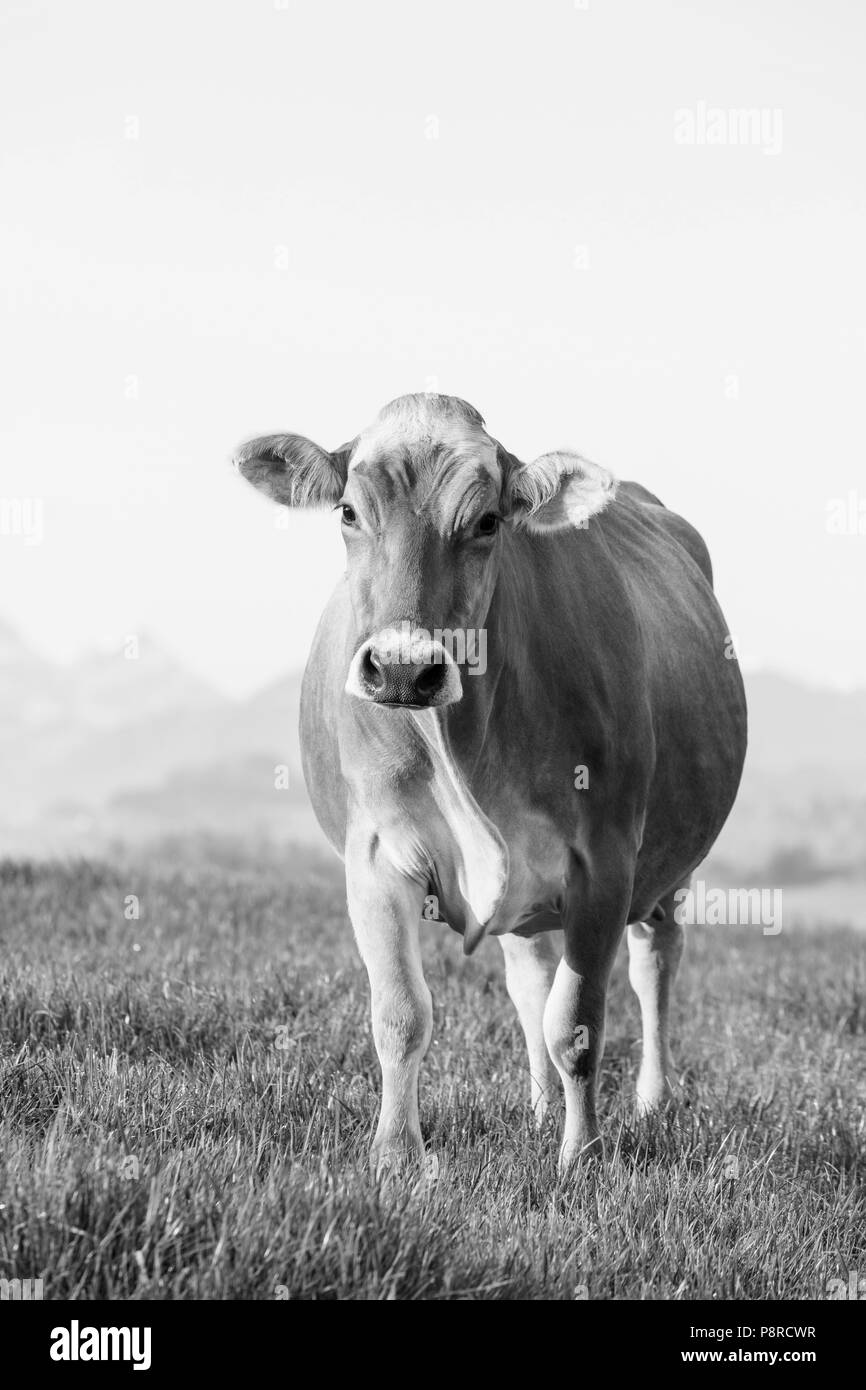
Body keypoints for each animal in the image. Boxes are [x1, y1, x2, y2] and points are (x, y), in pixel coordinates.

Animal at [235, 394, 747, 1173]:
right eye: (348, 512)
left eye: (486, 521)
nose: (404, 668)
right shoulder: (376, 854)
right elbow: (401, 1013)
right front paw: (396, 1156)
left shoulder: (604, 859)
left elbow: (579, 1022)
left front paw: (581, 1157)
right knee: (528, 976)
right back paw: (537, 1109)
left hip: (668, 866)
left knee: (655, 961)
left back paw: (653, 1104)